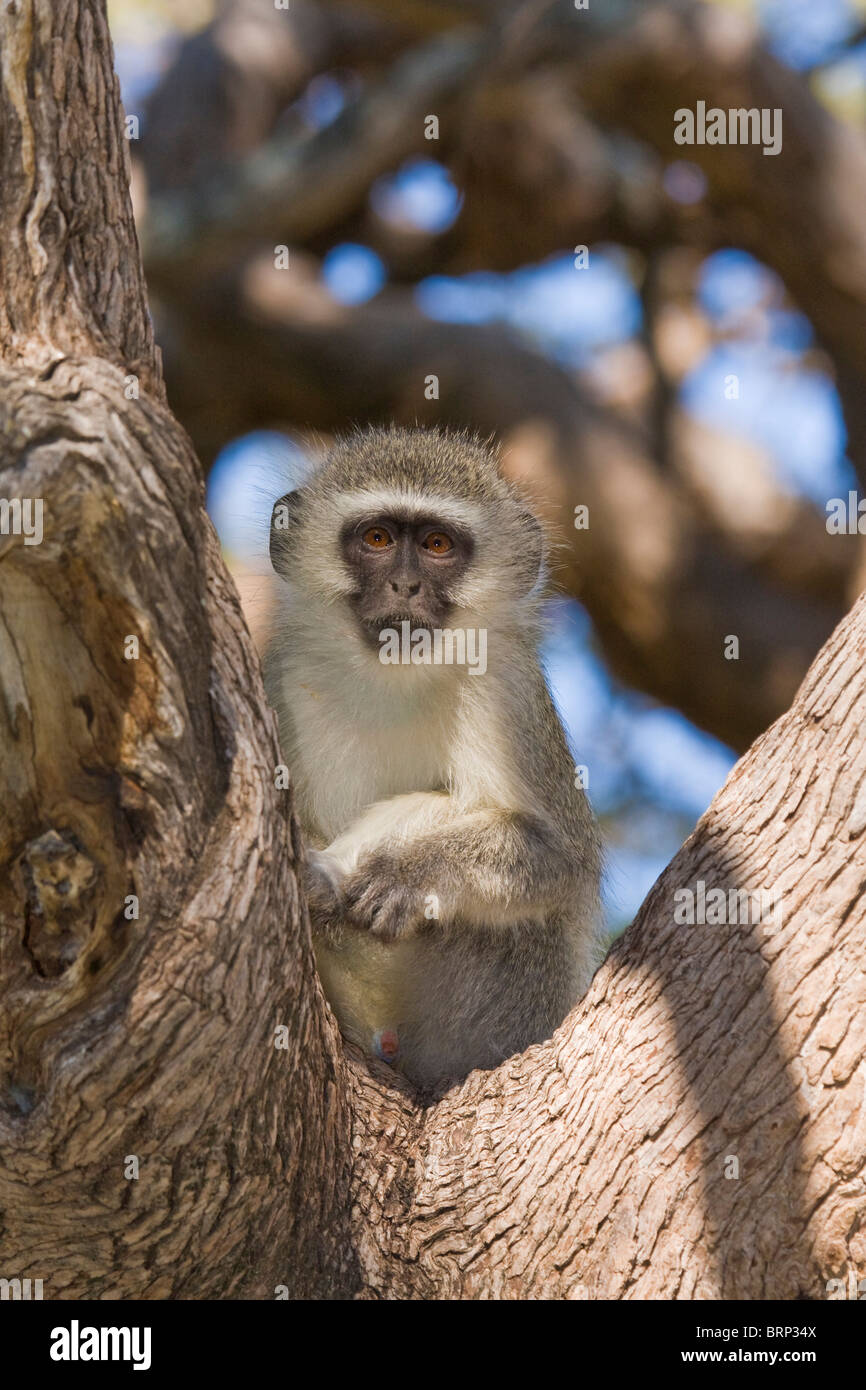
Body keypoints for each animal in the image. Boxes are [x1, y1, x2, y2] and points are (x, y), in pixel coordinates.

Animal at [264, 425, 601, 1091]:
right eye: (376, 538)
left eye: (437, 544)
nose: (405, 587)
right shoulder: (285, 677)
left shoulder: (507, 691)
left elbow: (558, 857)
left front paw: (409, 874)